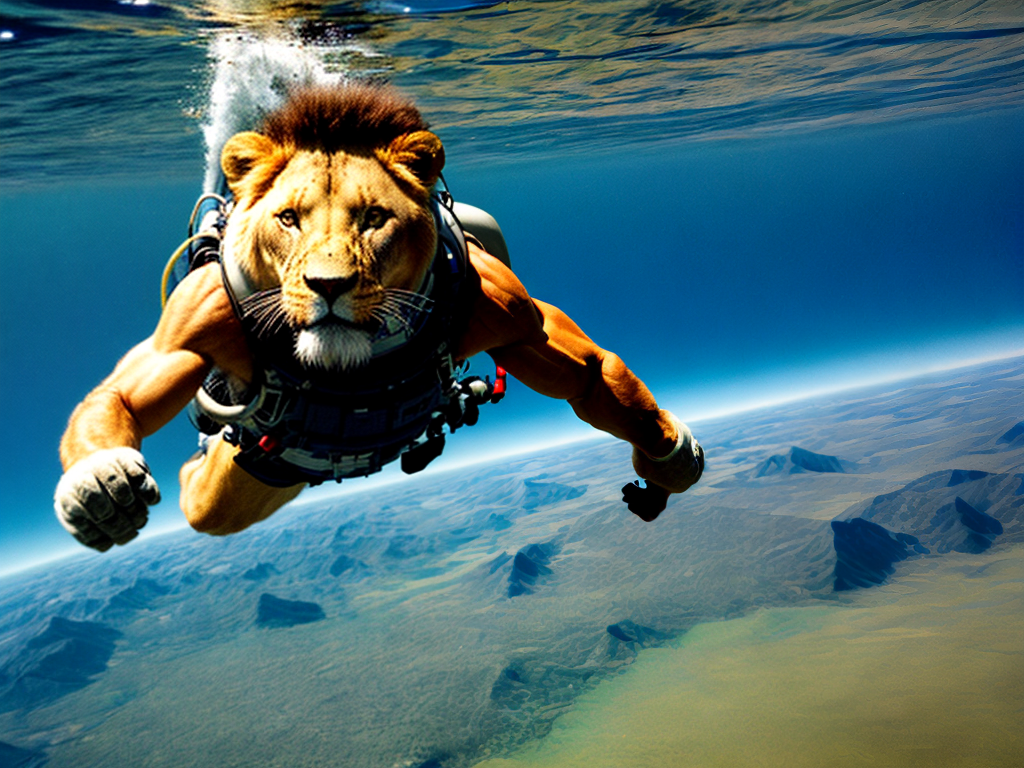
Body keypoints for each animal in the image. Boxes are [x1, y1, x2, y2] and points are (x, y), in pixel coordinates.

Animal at [54, 83, 704, 552]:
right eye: (288, 219)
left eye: (372, 218)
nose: (328, 286)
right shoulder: (199, 319)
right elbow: (122, 395)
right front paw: (98, 485)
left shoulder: (504, 309)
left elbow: (591, 374)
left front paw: (670, 460)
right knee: (202, 498)